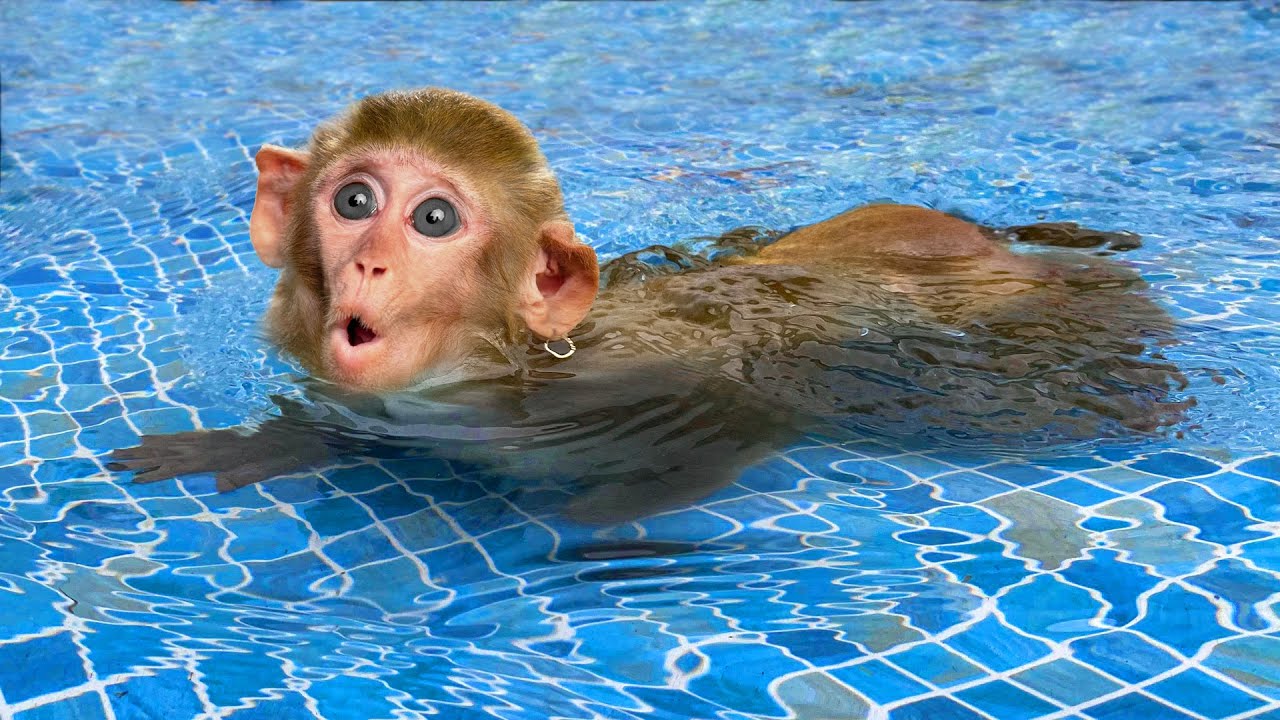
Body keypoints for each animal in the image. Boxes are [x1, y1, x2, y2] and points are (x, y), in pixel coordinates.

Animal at [107, 88, 1189, 523]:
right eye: (353, 202)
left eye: (432, 218)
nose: (368, 262)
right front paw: (262, 444)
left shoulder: (629, 384)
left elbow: (740, 410)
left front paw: (603, 515)